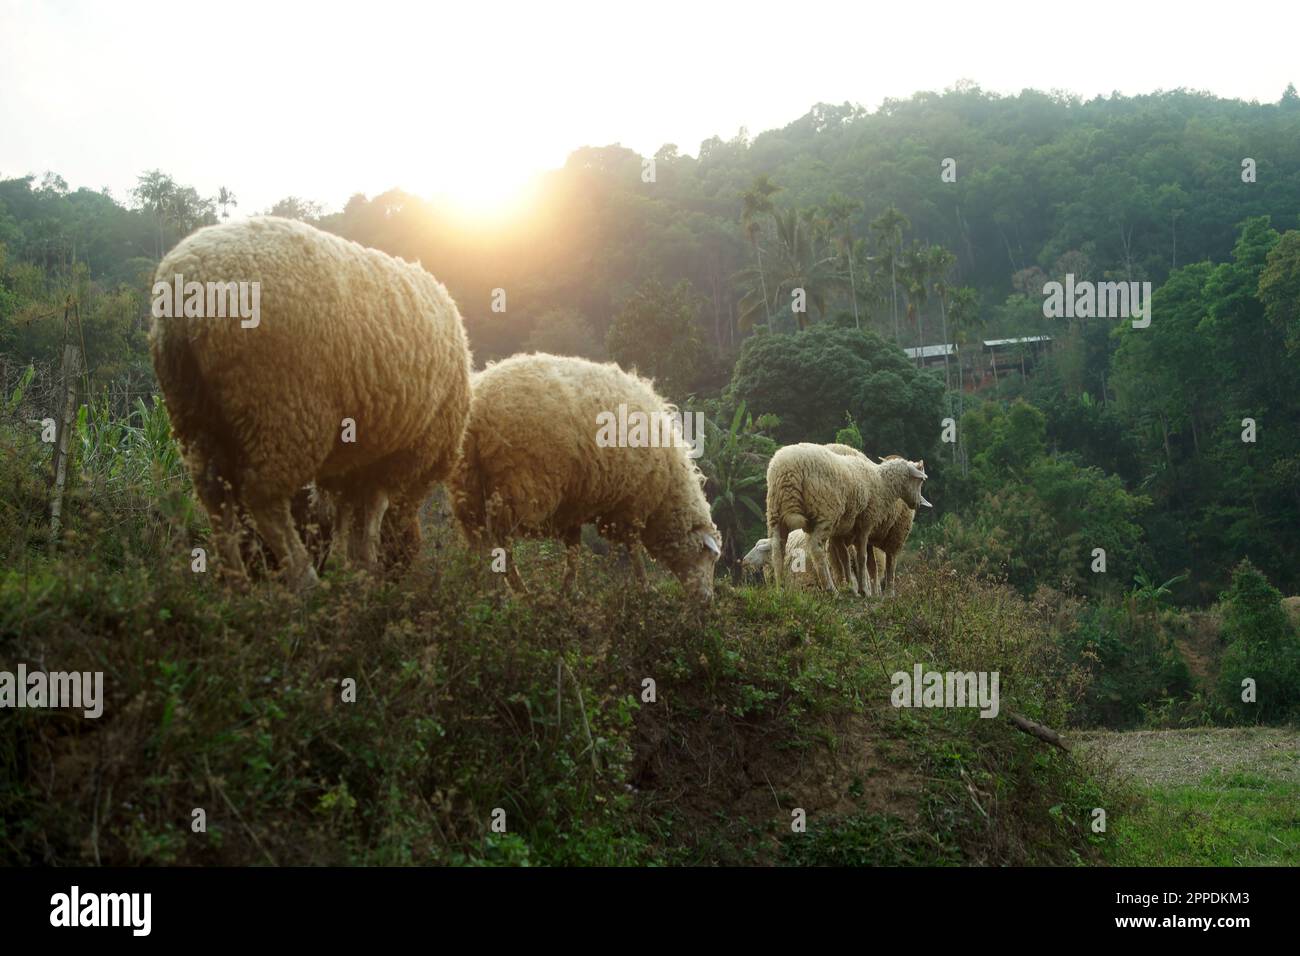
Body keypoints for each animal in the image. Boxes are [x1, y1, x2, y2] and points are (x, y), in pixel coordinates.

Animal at [150, 216, 471, 589]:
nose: (400, 571)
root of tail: (187, 277)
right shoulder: (399, 455)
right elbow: (370, 513)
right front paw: (367, 571)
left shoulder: (360, 458)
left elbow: (348, 515)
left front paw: (358, 569)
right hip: (281, 410)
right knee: (264, 499)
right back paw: (304, 579)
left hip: (192, 412)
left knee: (214, 497)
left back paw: (237, 583)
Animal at [448, 353, 722, 600]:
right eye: (709, 555)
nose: (707, 600)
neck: (668, 490)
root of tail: (479, 404)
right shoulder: (631, 505)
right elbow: (633, 548)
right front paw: (645, 587)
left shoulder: (575, 502)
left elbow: (574, 547)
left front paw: (570, 590)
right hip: (516, 486)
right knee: (501, 542)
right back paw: (516, 591)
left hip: (468, 483)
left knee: (478, 539)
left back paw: (483, 587)